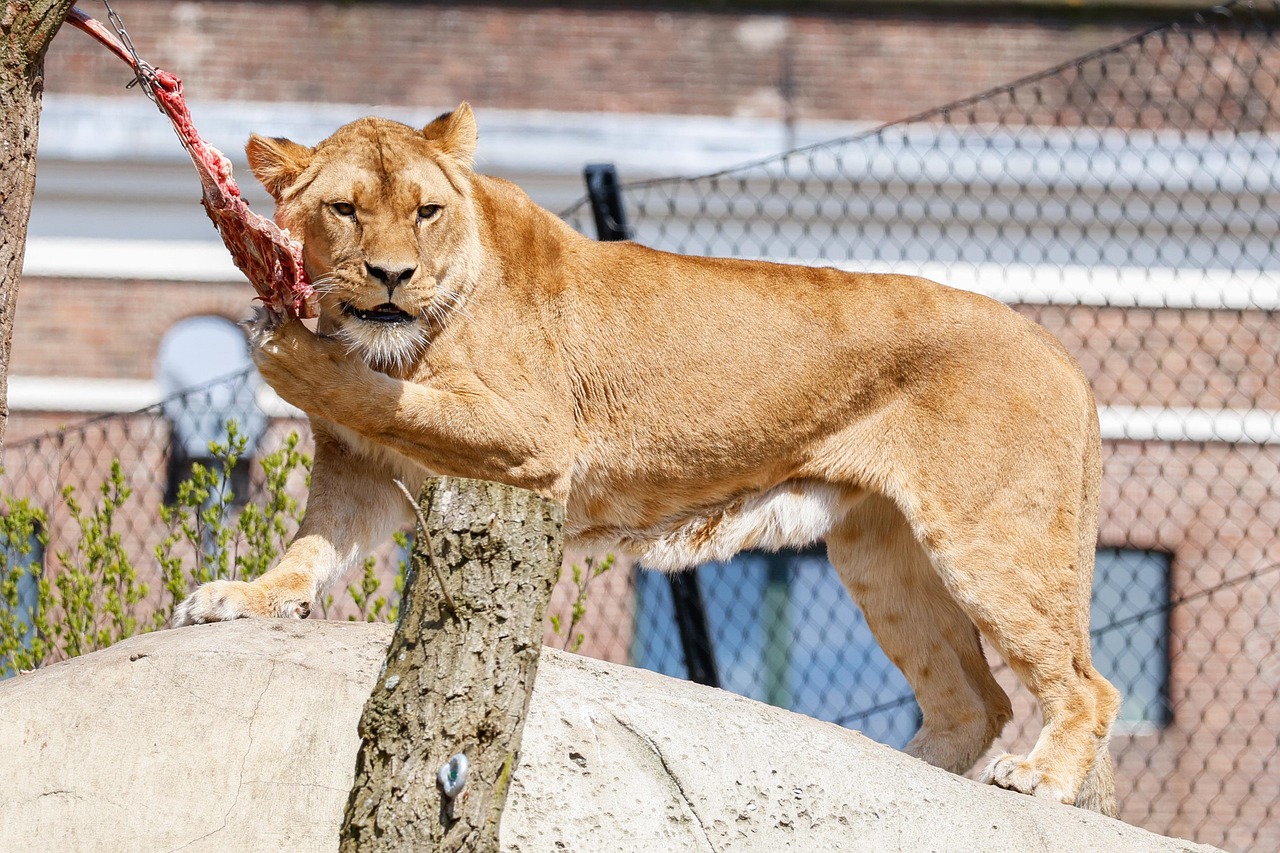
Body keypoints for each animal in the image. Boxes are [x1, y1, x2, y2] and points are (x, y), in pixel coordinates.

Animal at [172, 103, 1121, 816]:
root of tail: (1059, 351)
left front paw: (283, 349)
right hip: (883, 556)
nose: (393, 275)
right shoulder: (360, 470)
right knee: (978, 699)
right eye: (345, 210)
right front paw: (248, 596)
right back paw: (899, 771)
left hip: (990, 541)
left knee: (1084, 685)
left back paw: (1038, 778)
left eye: (425, 211)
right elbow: (313, 543)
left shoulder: (533, 437)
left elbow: (381, 400)